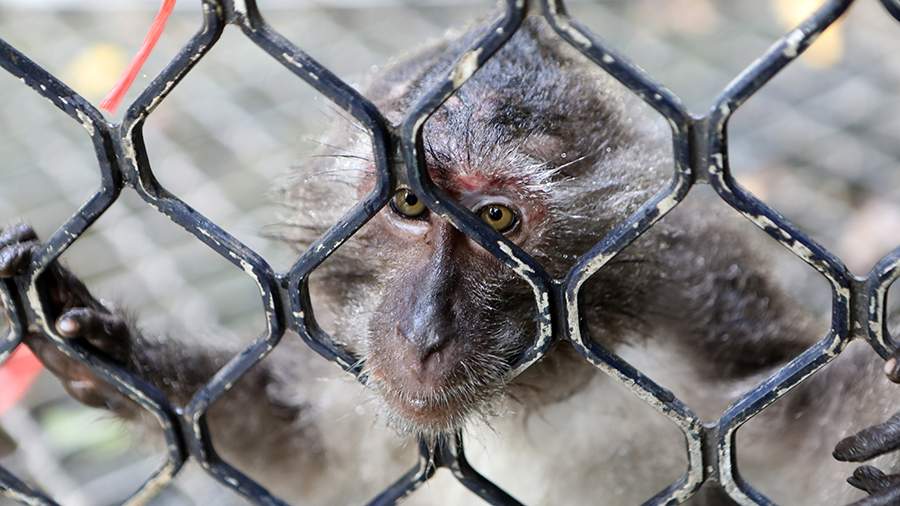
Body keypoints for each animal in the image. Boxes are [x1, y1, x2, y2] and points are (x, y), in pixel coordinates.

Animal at [1, 13, 899, 506]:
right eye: (407, 204)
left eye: (496, 218)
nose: (426, 331)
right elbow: (307, 463)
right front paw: (90, 342)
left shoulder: (705, 309)